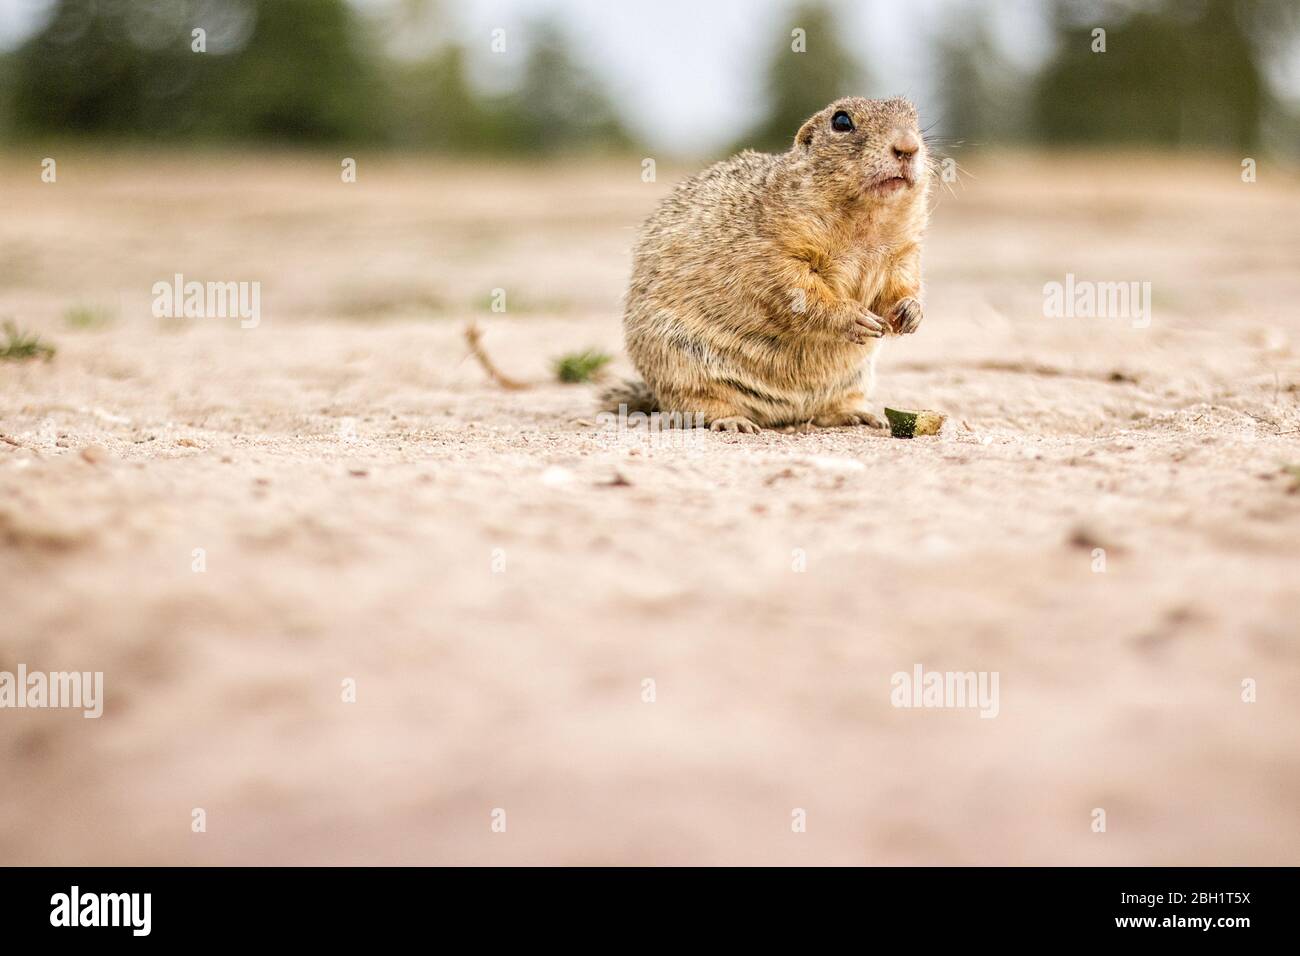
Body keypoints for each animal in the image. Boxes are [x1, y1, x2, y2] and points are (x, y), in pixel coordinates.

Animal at [603, 96, 933, 433]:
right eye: (841, 121)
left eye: (915, 117)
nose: (907, 146)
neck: (868, 223)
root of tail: (781, 414)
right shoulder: (774, 249)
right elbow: (795, 290)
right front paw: (851, 316)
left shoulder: (904, 252)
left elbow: (904, 283)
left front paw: (910, 312)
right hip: (680, 366)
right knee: (696, 406)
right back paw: (733, 420)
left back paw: (856, 414)